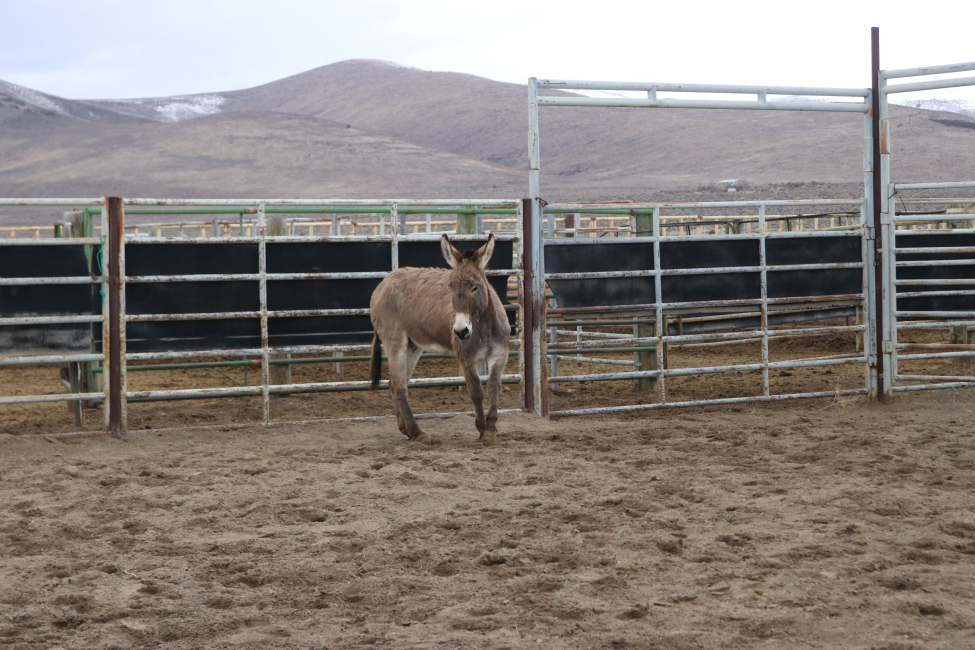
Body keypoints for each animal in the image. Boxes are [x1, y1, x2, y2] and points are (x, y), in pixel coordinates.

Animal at [369, 233, 510, 445]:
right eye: (451, 287)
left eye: (475, 288)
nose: (461, 331)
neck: (484, 327)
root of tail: (384, 281)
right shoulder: (466, 358)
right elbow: (476, 392)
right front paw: (482, 428)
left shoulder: (499, 356)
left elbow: (494, 387)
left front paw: (491, 430)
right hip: (394, 341)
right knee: (400, 386)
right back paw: (417, 432)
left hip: (413, 346)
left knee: (395, 383)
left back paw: (405, 430)